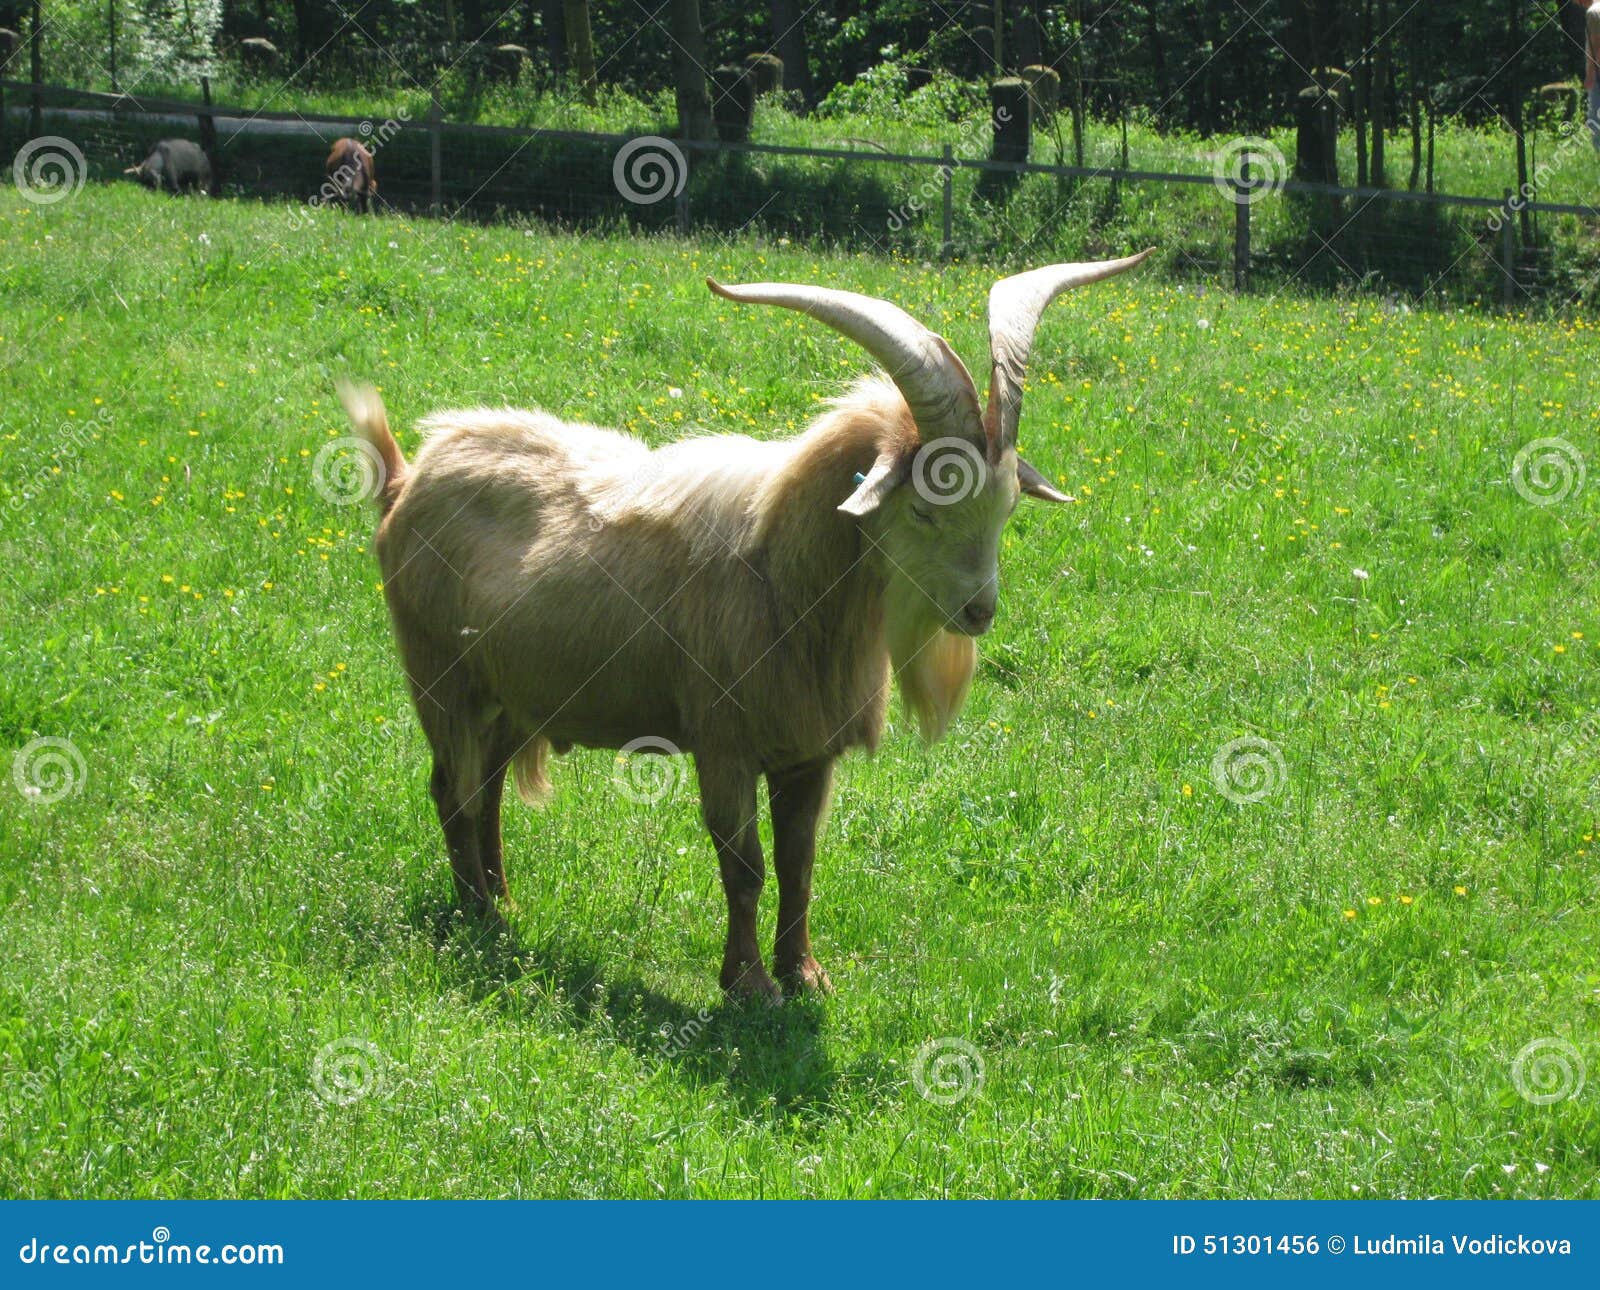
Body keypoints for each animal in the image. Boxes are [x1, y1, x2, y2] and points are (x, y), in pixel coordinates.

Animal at [338, 251, 1151, 999]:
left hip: (511, 691)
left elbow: (798, 862)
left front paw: (806, 974)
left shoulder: (807, 753)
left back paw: (503, 900)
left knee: (489, 787)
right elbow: (745, 864)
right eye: (924, 508)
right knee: (453, 789)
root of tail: (406, 476)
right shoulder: (724, 743)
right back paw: (477, 915)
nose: (978, 612)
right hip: (440, 677)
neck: (779, 574)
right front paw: (749, 983)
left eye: (1008, 507)